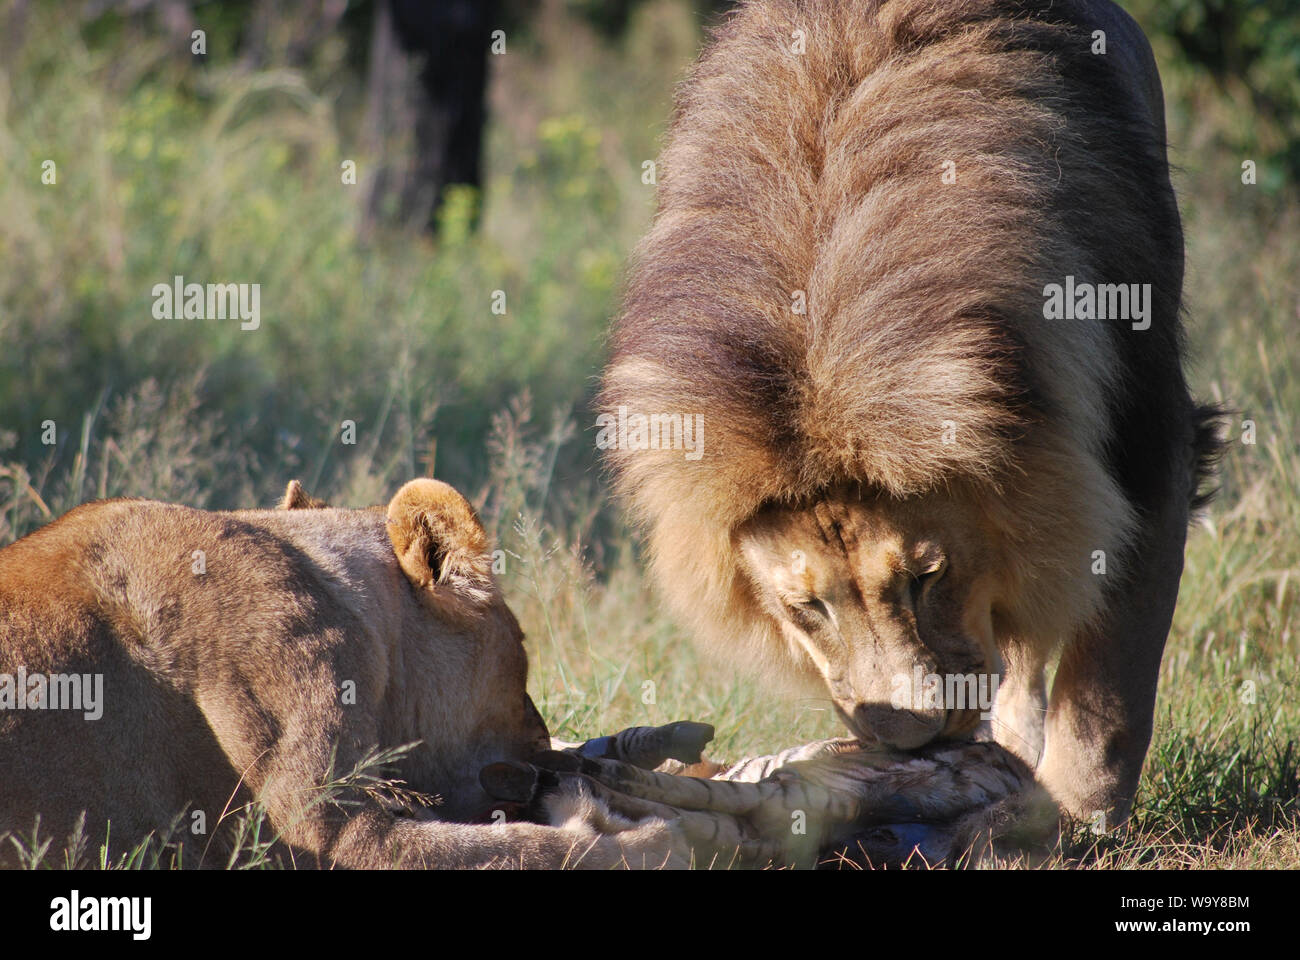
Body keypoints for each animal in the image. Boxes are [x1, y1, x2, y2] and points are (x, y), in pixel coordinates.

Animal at [599, 0, 1223, 828]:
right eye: (807, 608)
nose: (912, 741)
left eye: (929, 578)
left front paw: (1075, 818)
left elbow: (1107, 689)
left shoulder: (1150, 447)